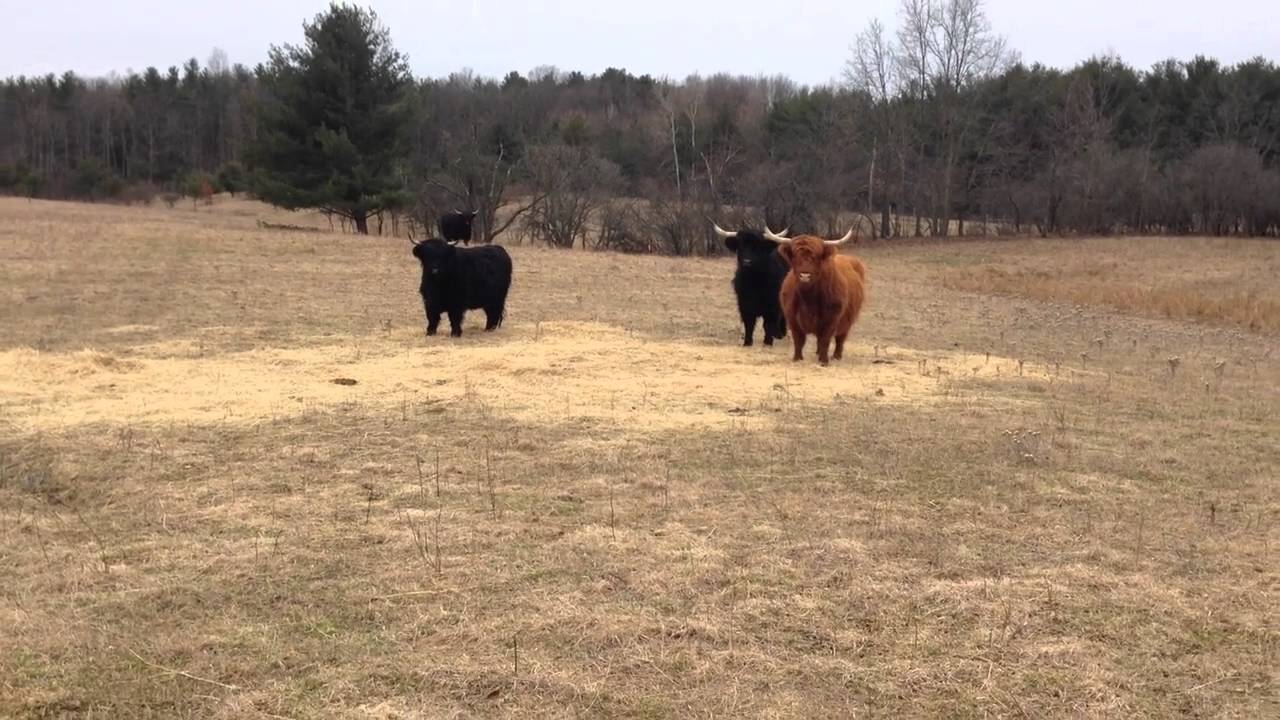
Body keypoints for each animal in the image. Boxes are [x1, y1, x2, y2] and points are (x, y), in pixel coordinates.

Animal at [766, 228, 867, 366]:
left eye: (815, 257)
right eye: (795, 255)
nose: (805, 275)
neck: (809, 299)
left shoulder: (831, 319)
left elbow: (825, 340)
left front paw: (824, 361)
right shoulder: (792, 318)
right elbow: (799, 340)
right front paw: (797, 358)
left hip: (848, 320)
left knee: (840, 338)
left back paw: (836, 356)